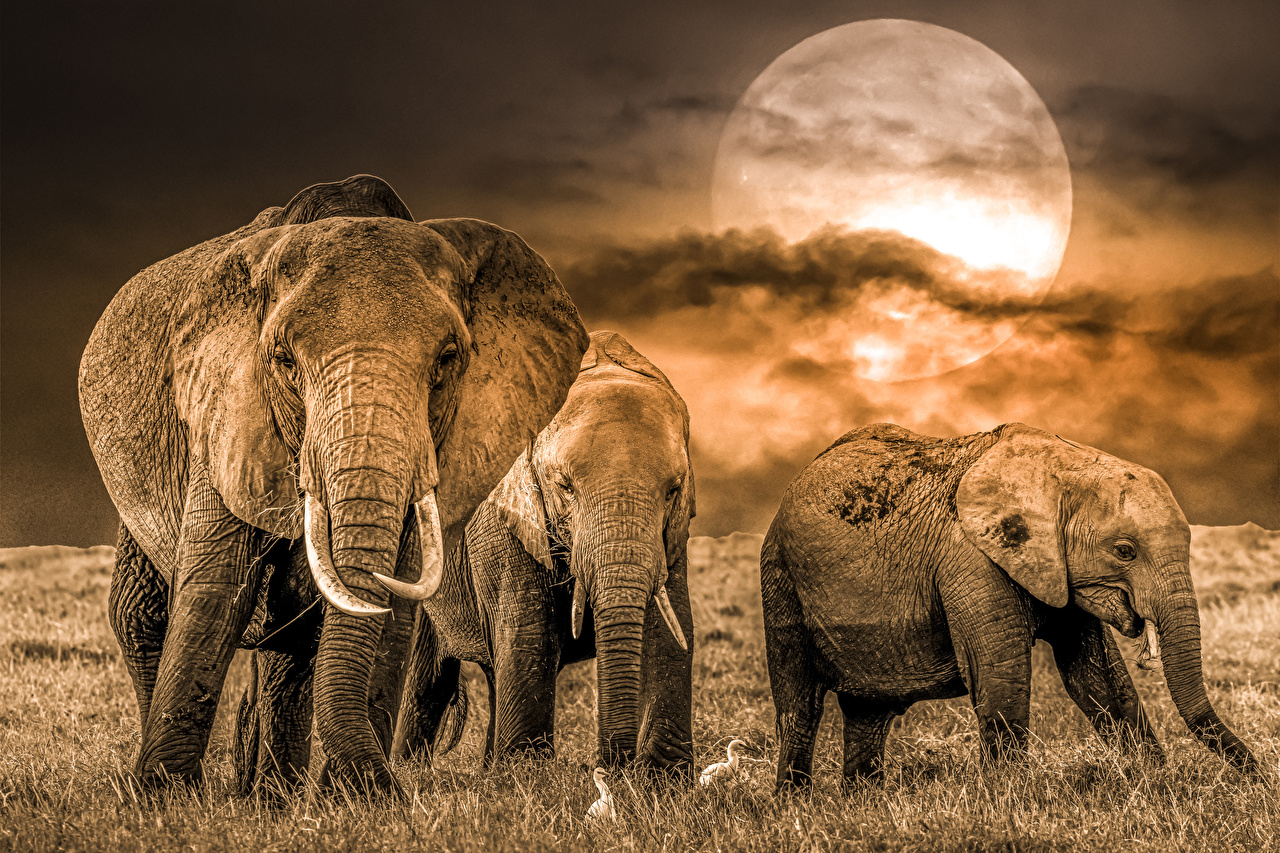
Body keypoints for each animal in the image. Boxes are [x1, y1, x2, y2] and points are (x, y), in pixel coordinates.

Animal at [79, 175, 589, 795]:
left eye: (447, 360)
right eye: (284, 362)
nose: (379, 785)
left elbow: (392, 602)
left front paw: (354, 798)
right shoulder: (225, 412)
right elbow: (215, 584)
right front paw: (163, 797)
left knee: (288, 643)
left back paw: (272, 798)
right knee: (142, 614)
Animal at [389, 331, 697, 776]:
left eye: (673, 490)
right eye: (565, 486)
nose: (610, 767)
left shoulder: (672, 536)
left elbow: (670, 629)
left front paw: (662, 780)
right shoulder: (503, 521)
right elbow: (528, 635)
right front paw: (528, 776)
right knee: (429, 679)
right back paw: (410, 771)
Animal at [761, 422, 1260, 789]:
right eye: (1125, 551)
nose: (1257, 777)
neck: (1062, 467)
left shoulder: (1055, 566)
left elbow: (1098, 677)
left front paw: (1156, 783)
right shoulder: (971, 558)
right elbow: (999, 671)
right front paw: (1013, 799)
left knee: (869, 712)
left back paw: (864, 803)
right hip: (779, 574)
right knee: (799, 704)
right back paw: (795, 806)